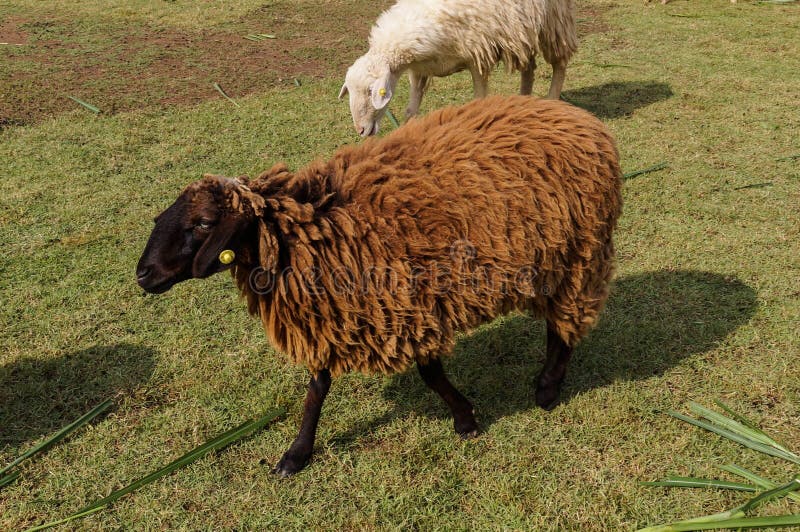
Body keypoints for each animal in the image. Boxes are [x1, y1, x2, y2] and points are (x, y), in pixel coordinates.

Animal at [137, 95, 622, 477]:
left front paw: (465, 420)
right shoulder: (334, 312)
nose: (142, 274)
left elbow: (429, 374)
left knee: (565, 325)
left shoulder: (410, 304)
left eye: (203, 224)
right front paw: (296, 454)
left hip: (580, 254)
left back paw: (548, 389)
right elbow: (317, 387)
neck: (306, 232)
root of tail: (582, 119)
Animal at [338, 0, 578, 136]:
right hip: (522, 32)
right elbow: (411, 110)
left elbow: (478, 99)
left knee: (560, 64)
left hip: (553, 22)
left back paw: (552, 99)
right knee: (529, 68)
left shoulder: (477, 55)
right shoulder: (420, 70)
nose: (360, 130)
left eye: (371, 91)